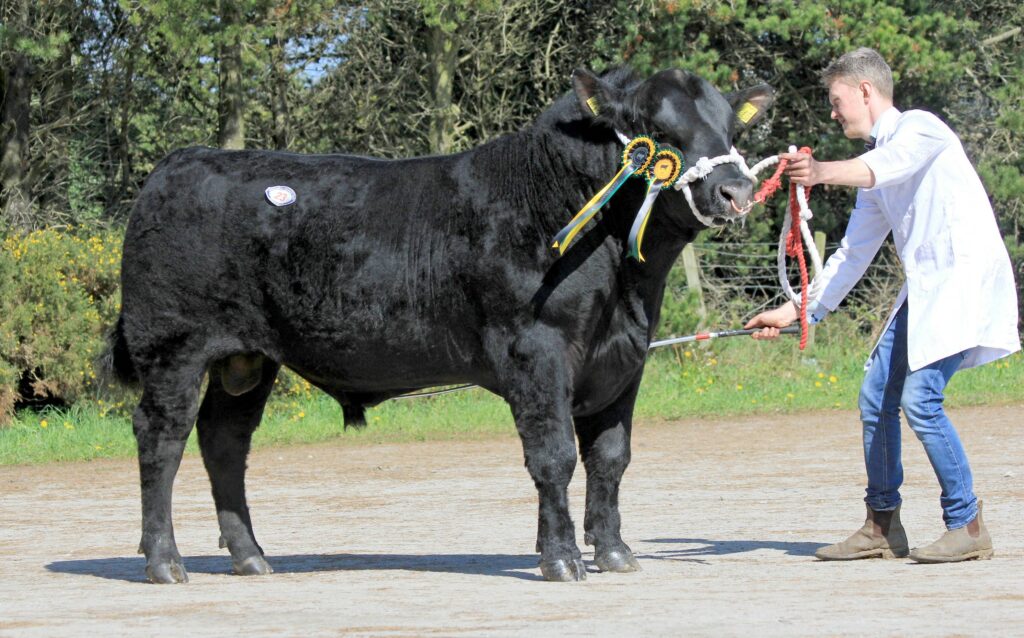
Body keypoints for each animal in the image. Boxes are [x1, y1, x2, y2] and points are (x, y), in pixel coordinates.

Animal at [108, 66, 774, 583]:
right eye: (657, 131)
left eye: (732, 130)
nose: (736, 189)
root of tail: (180, 162)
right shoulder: (536, 349)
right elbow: (554, 455)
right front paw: (561, 559)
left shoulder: (623, 359)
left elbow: (610, 457)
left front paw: (613, 552)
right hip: (173, 346)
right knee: (160, 438)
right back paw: (165, 561)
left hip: (247, 358)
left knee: (225, 440)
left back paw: (250, 556)